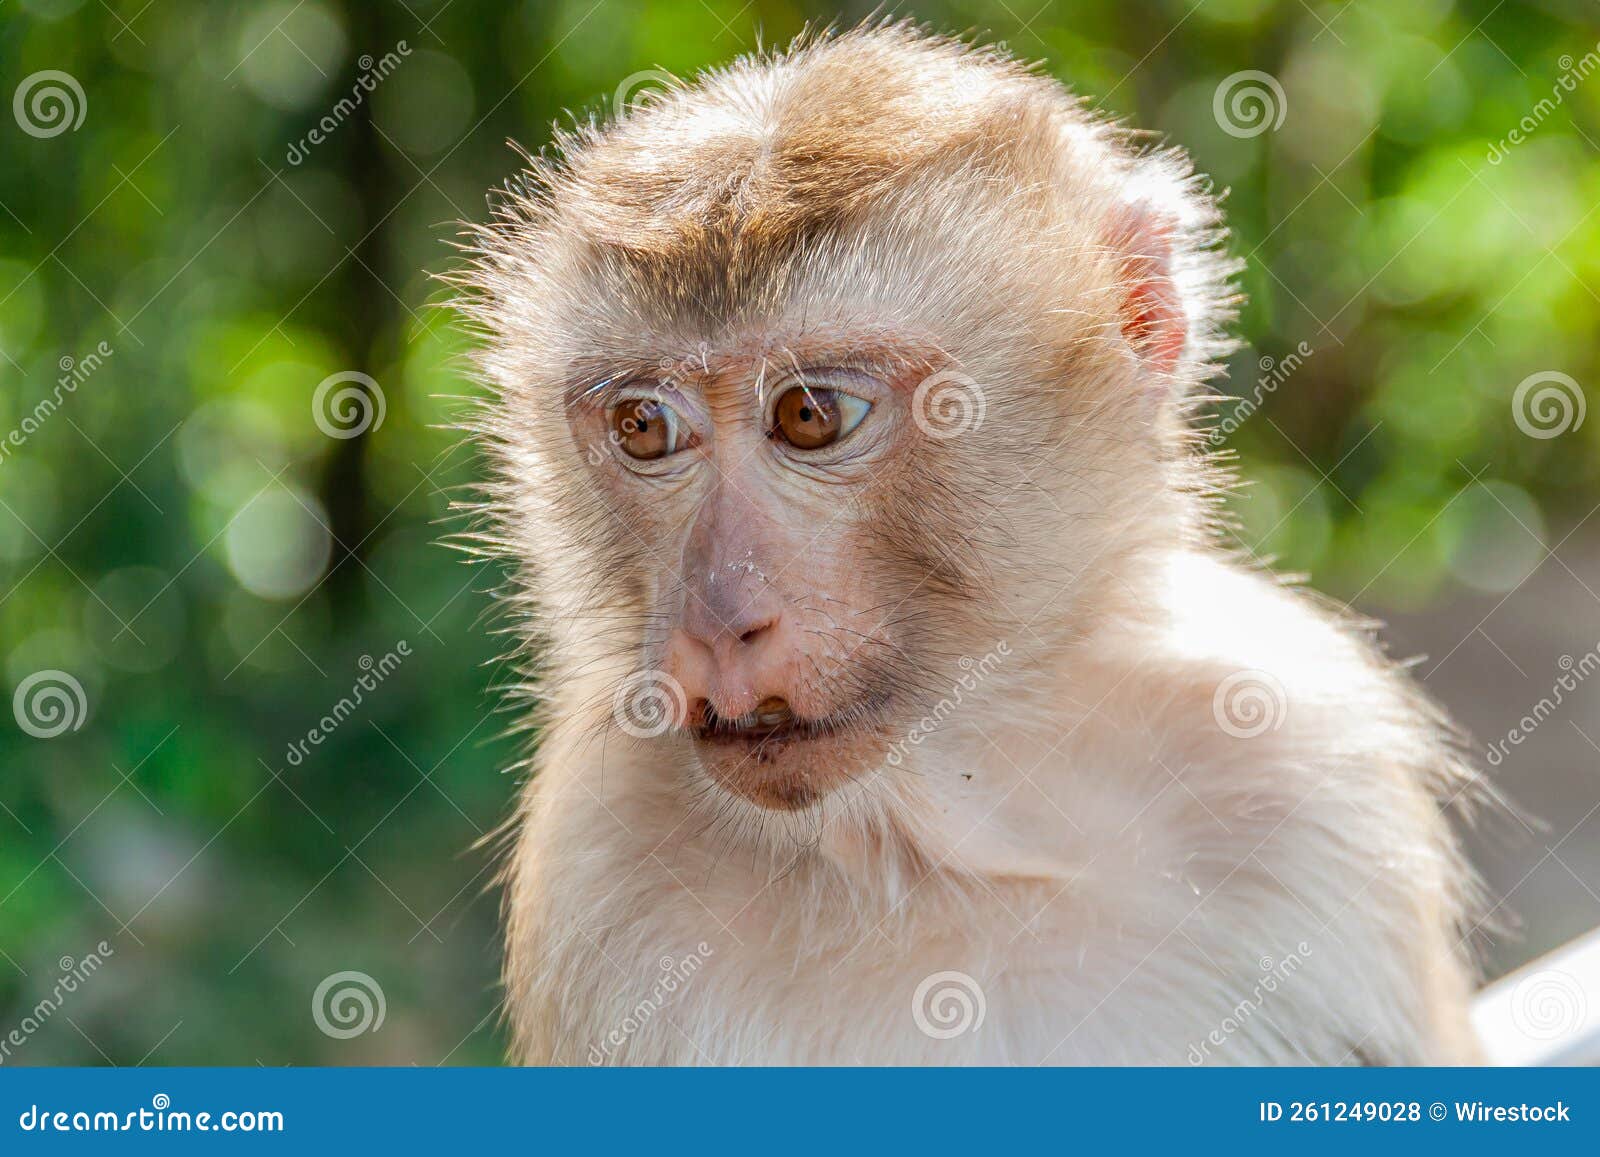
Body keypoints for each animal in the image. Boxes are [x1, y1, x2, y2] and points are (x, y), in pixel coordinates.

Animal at [453, 23, 1488, 1065]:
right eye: (644, 428)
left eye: (810, 414)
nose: (717, 624)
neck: (952, 824)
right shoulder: (601, 859)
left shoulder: (1304, 756)